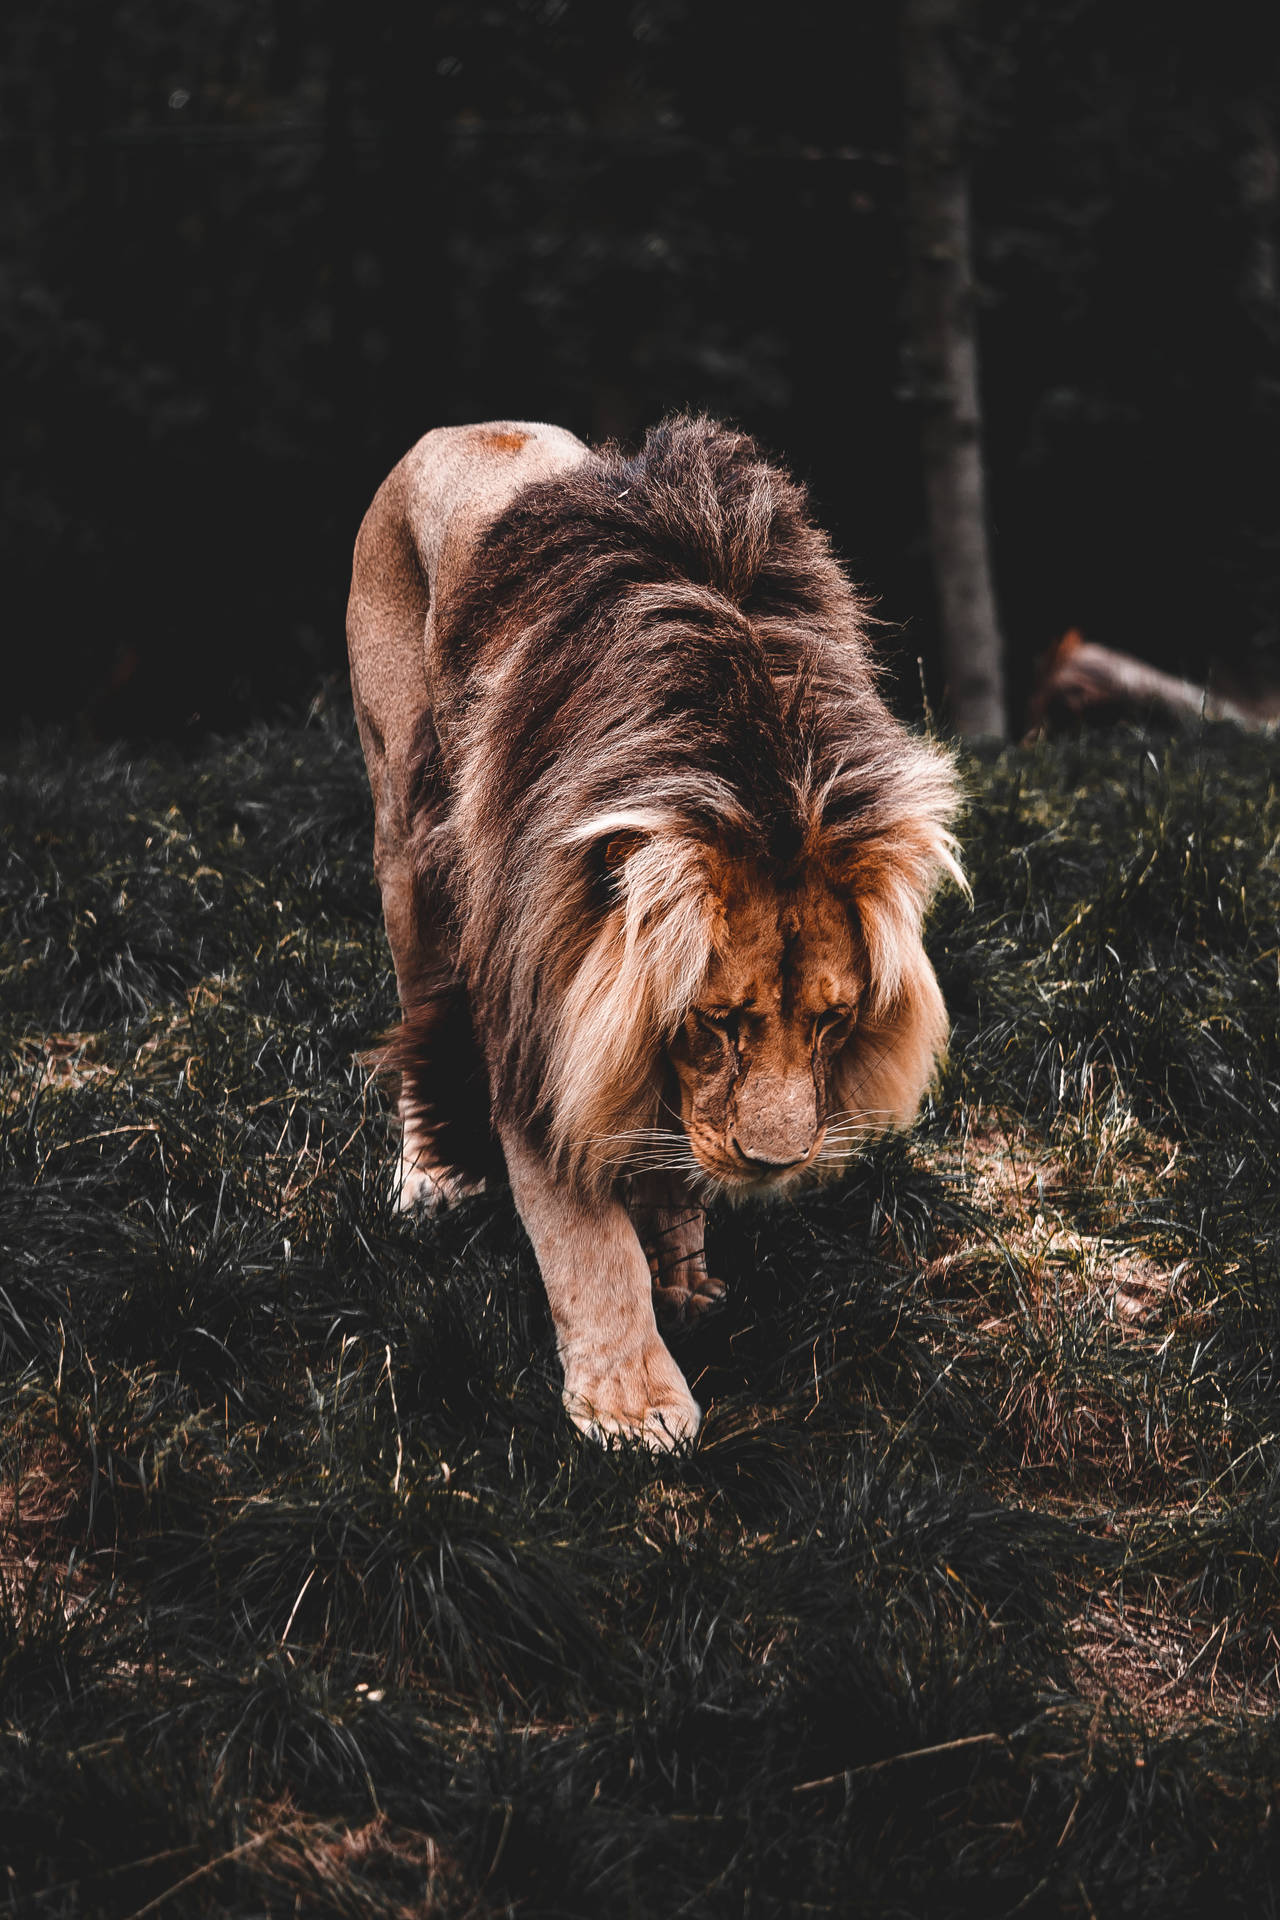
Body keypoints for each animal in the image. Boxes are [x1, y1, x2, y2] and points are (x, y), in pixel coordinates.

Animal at [346, 416, 961, 1447]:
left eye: (834, 1023)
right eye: (718, 1020)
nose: (775, 1168)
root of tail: (464, 428)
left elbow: (665, 1142)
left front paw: (682, 1273)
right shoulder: (537, 997)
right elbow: (584, 1238)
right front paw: (631, 1403)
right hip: (403, 831)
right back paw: (431, 1181)